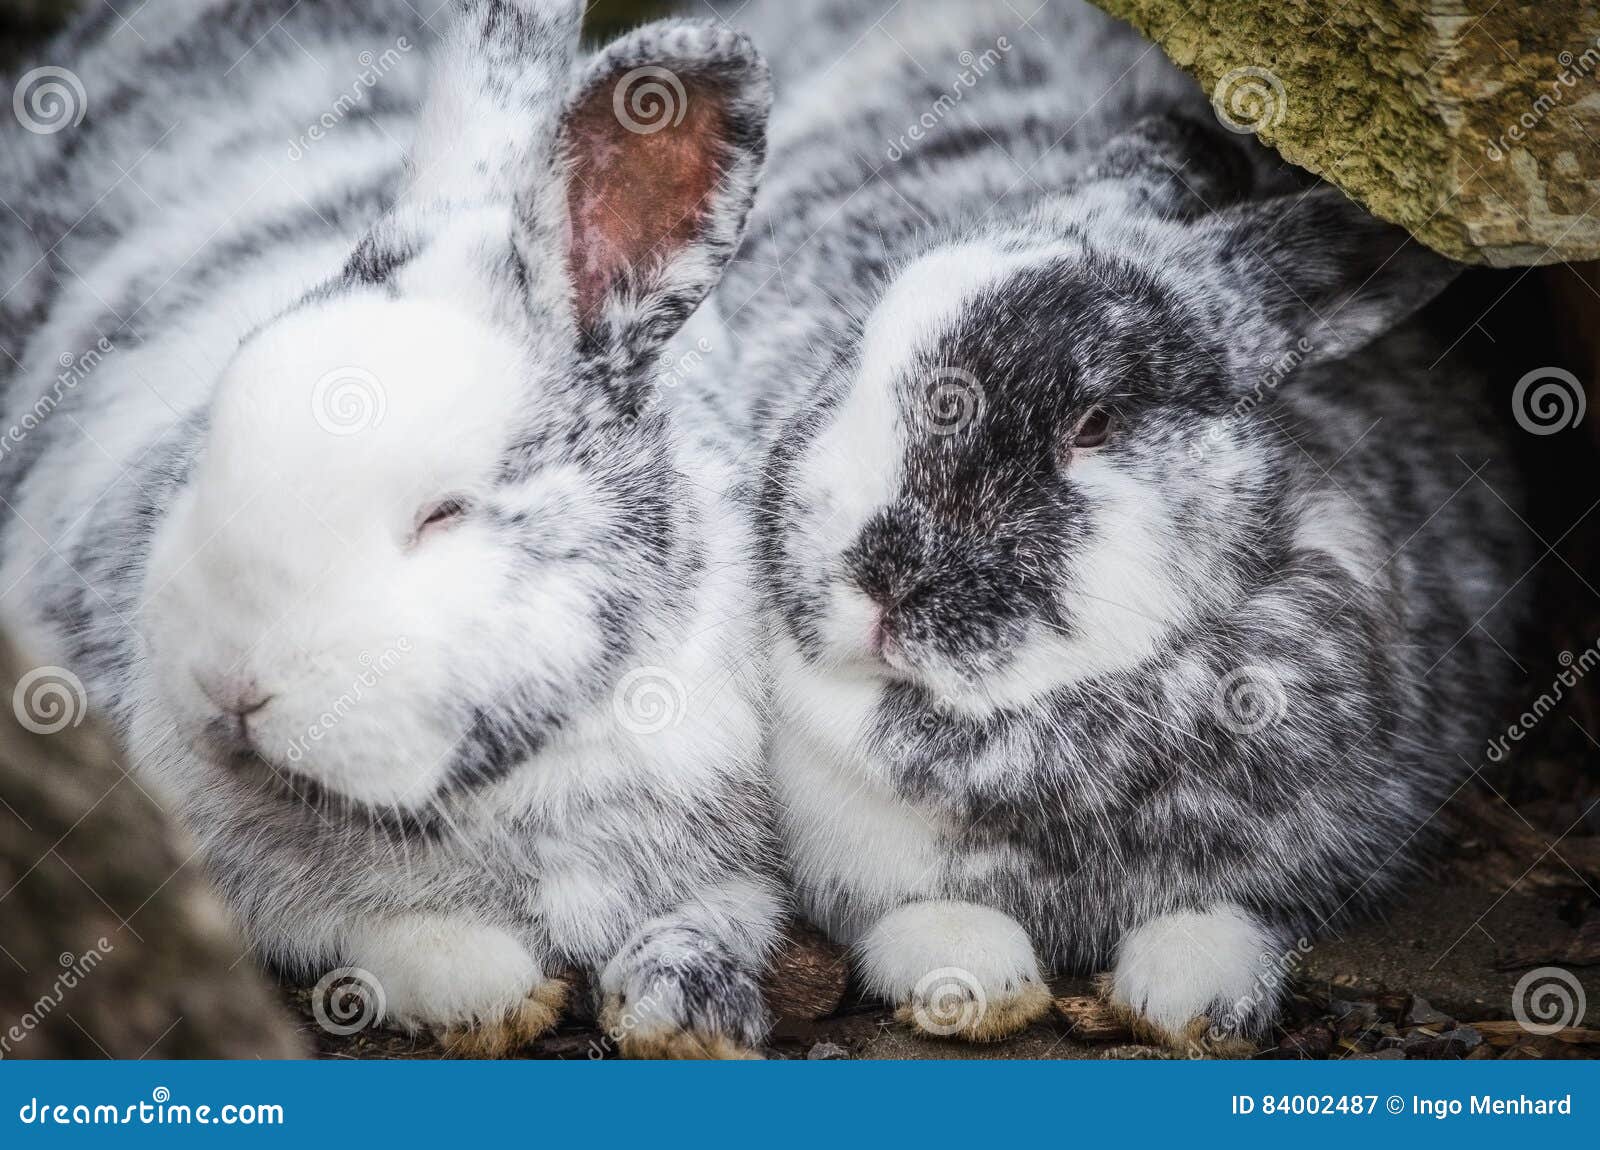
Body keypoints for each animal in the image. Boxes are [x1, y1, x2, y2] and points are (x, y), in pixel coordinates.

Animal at [0, 0, 783, 1058]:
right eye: (213, 430)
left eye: (443, 513)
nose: (231, 684)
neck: (495, 792)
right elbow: (398, 939)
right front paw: (498, 997)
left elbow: (722, 917)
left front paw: (685, 1010)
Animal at [713, 0, 1531, 1050]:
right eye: (854, 346)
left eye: (1094, 425)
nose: (876, 584)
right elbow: (925, 918)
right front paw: (975, 982)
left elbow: (1222, 922)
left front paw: (1190, 998)